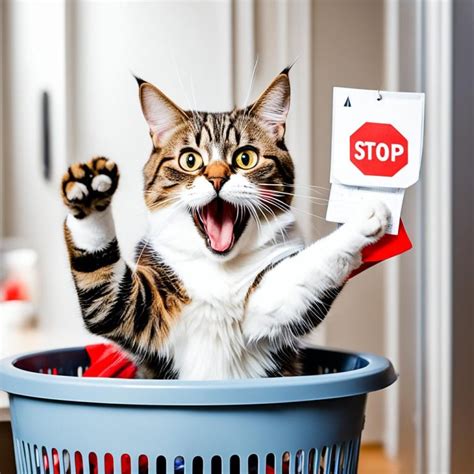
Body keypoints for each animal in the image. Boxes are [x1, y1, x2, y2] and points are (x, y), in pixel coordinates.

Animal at [61, 68, 388, 380]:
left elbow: (304, 272)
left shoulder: (265, 309)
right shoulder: (138, 310)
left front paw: (362, 216)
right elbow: (104, 285)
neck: (219, 271)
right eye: (190, 160)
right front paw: (89, 189)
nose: (217, 178)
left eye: (246, 158)